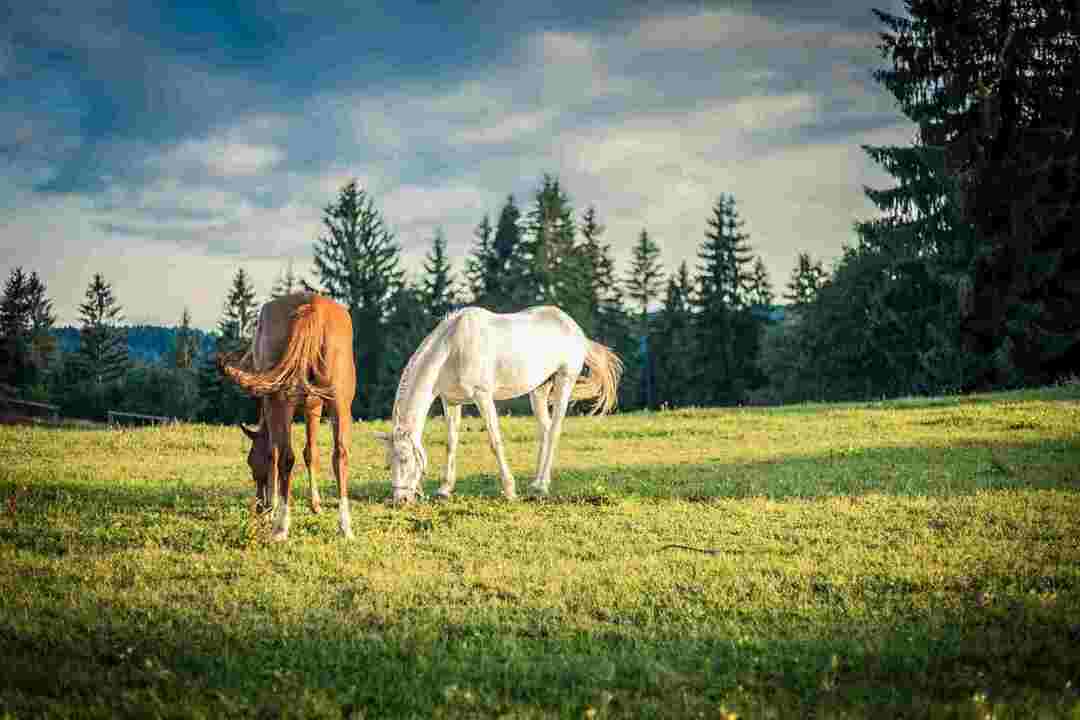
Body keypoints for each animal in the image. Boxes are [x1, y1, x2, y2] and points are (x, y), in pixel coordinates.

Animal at [218, 293, 354, 539]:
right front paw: (316, 505)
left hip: (281, 402)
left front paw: (271, 509)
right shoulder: (314, 407)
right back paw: (345, 527)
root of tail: (312, 306)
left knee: (286, 457)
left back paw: (281, 526)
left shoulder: (270, 405)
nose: (259, 507)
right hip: (339, 403)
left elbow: (272, 453)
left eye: (251, 462)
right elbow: (311, 453)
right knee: (340, 455)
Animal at [378, 306, 626, 505]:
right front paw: (444, 489)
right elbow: (451, 443)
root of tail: (574, 328)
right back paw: (537, 483)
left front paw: (509, 490)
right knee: (545, 431)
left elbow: (495, 441)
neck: (452, 348)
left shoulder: (483, 397)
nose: (400, 500)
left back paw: (541, 486)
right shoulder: (451, 402)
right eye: (388, 463)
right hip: (538, 390)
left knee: (554, 431)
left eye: (404, 458)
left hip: (564, 381)